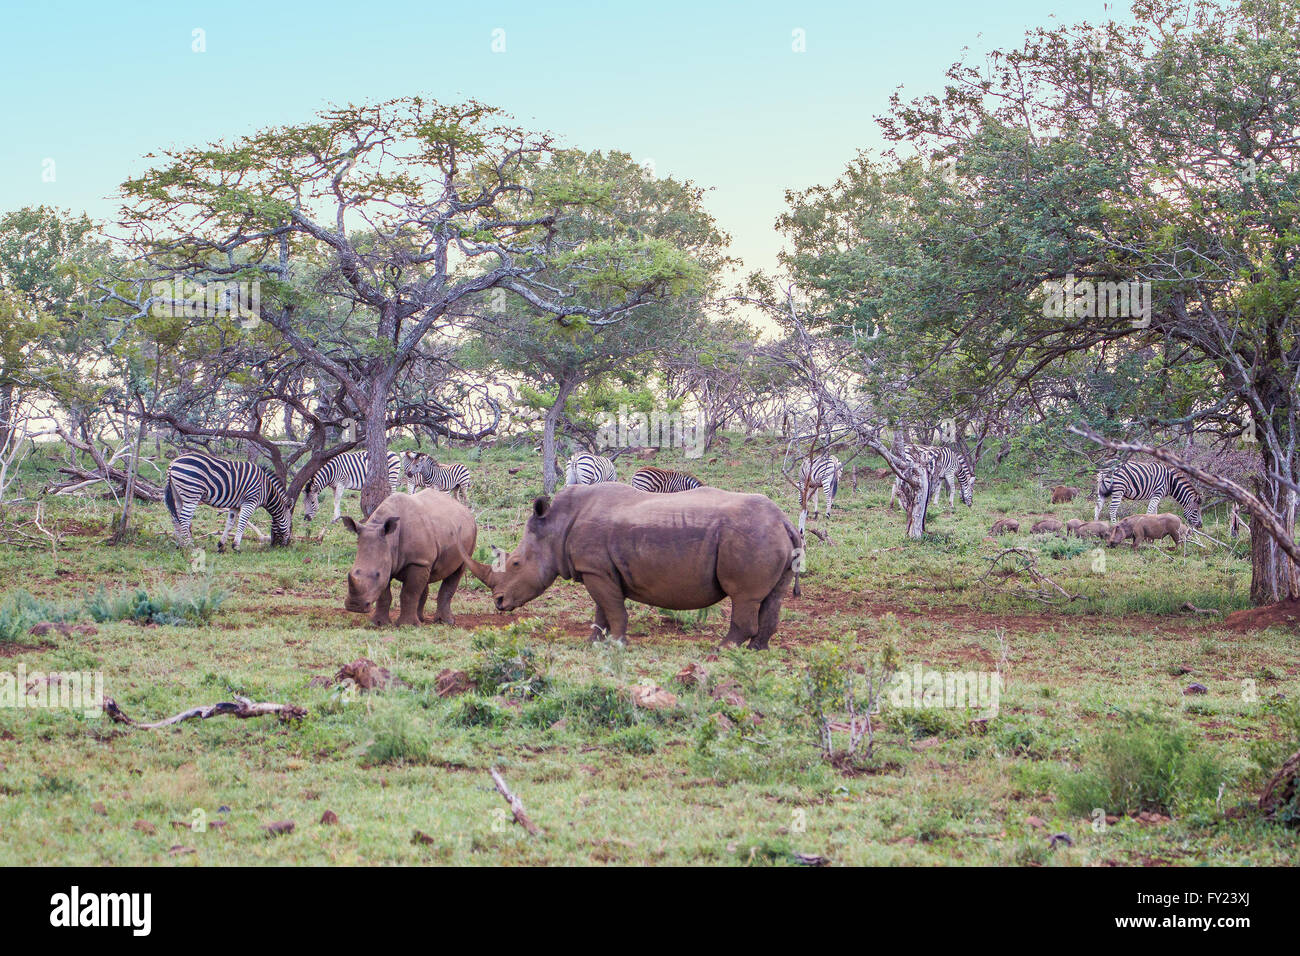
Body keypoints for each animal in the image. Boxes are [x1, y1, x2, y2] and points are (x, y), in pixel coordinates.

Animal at [342, 489, 477, 627]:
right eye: (351, 572)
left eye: (377, 574)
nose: (355, 606)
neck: (390, 540)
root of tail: (465, 509)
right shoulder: (392, 560)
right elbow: (384, 594)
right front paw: (379, 623)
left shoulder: (416, 561)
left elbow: (409, 593)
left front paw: (406, 625)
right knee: (426, 577)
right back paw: (421, 619)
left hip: (470, 533)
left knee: (457, 572)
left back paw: (444, 622)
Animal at [462, 484, 803, 649]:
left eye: (516, 563)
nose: (499, 602)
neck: (556, 524)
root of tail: (784, 521)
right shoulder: (597, 570)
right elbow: (601, 610)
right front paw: (593, 642)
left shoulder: (596, 570)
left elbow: (613, 609)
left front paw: (616, 644)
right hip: (770, 537)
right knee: (772, 597)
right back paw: (757, 650)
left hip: (751, 536)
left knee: (744, 597)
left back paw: (723, 649)